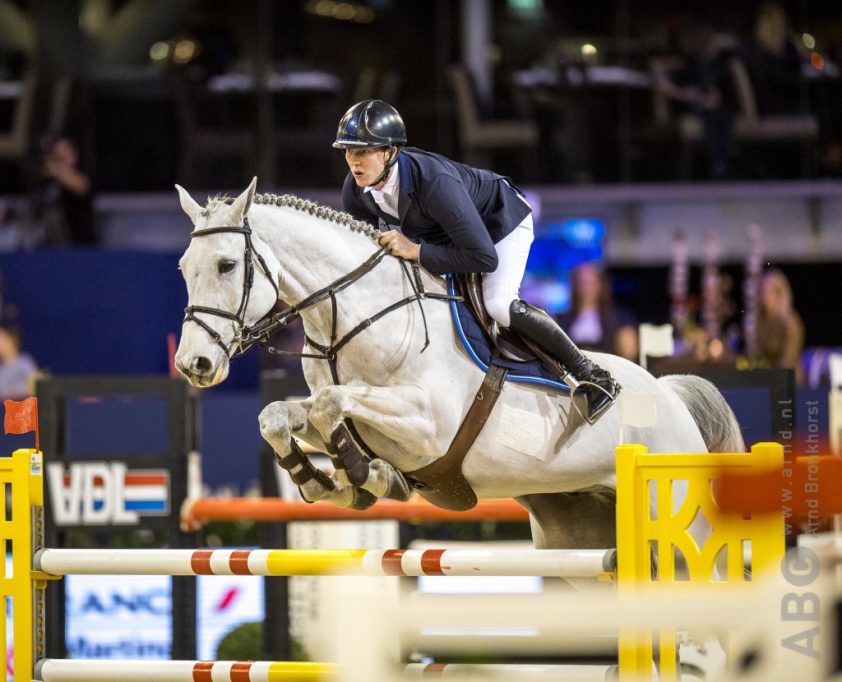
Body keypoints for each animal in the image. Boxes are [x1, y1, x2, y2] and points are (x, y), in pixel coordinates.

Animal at [174, 177, 745, 557]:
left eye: (227, 265)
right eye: (183, 268)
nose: (192, 364)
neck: (355, 318)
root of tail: (670, 394)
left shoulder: (428, 424)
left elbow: (331, 404)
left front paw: (363, 475)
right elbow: (280, 415)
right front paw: (325, 481)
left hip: (678, 522)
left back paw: (597, 388)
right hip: (575, 528)